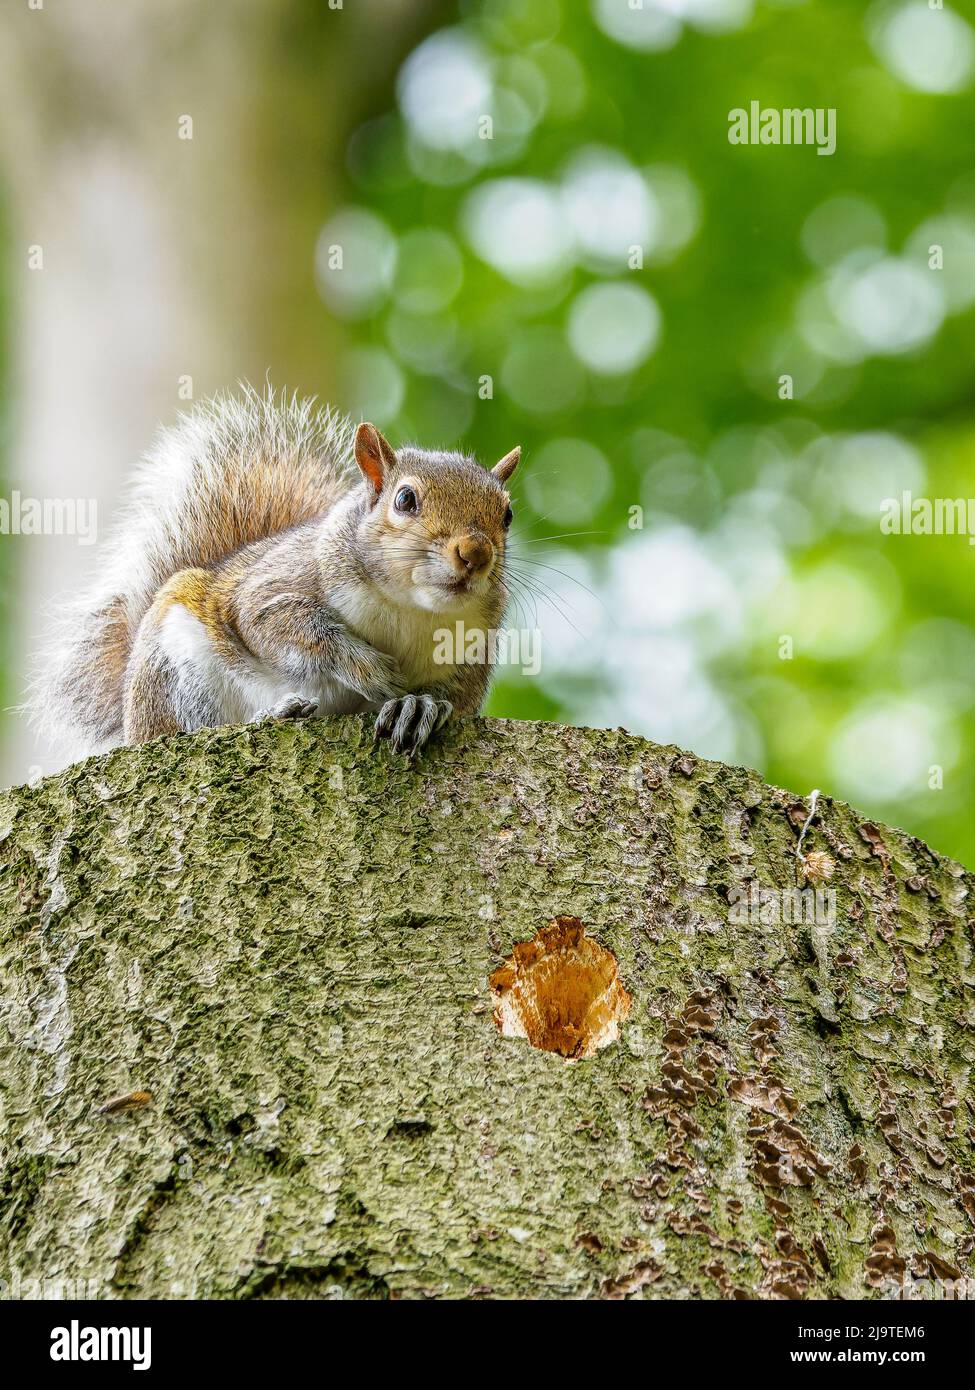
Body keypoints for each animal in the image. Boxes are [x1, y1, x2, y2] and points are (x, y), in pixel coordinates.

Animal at [31, 386, 522, 760]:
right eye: (405, 499)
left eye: (508, 514)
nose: (475, 553)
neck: (412, 606)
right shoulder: (278, 585)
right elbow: (281, 625)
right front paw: (365, 667)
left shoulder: (473, 649)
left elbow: (456, 698)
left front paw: (418, 706)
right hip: (173, 669)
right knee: (188, 728)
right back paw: (269, 715)